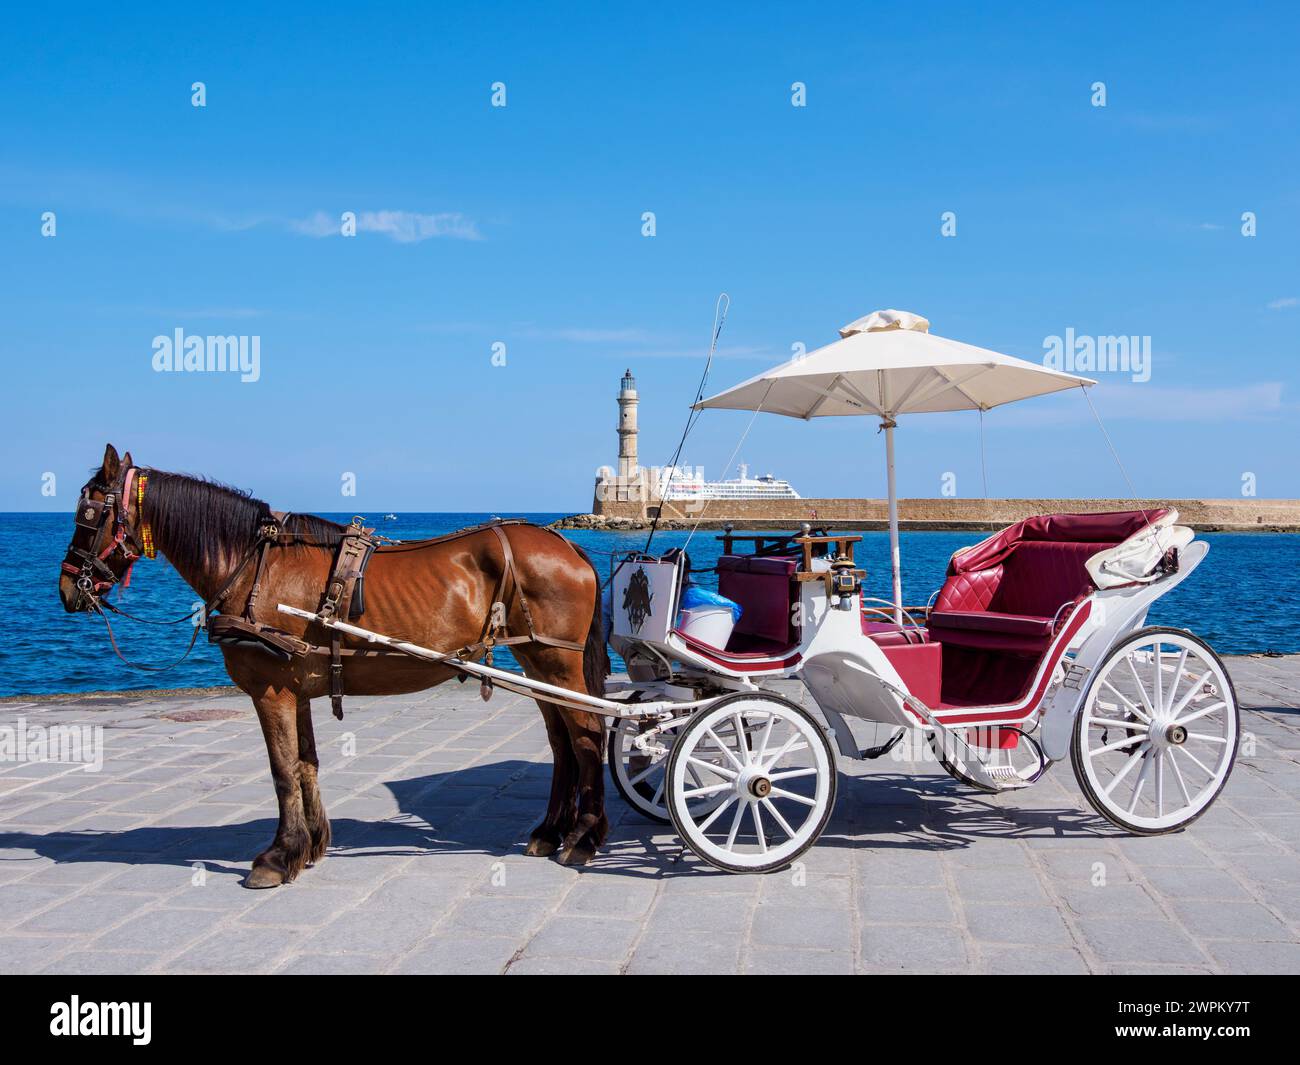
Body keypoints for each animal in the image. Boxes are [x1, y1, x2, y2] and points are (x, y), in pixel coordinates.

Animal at [58, 444, 611, 887]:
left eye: (88, 512)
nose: (67, 586)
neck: (253, 564)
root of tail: (567, 544)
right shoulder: (294, 689)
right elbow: (305, 764)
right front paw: (309, 846)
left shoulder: (270, 691)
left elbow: (282, 770)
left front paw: (277, 858)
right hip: (537, 660)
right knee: (562, 738)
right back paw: (550, 831)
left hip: (557, 661)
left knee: (587, 733)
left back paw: (584, 837)